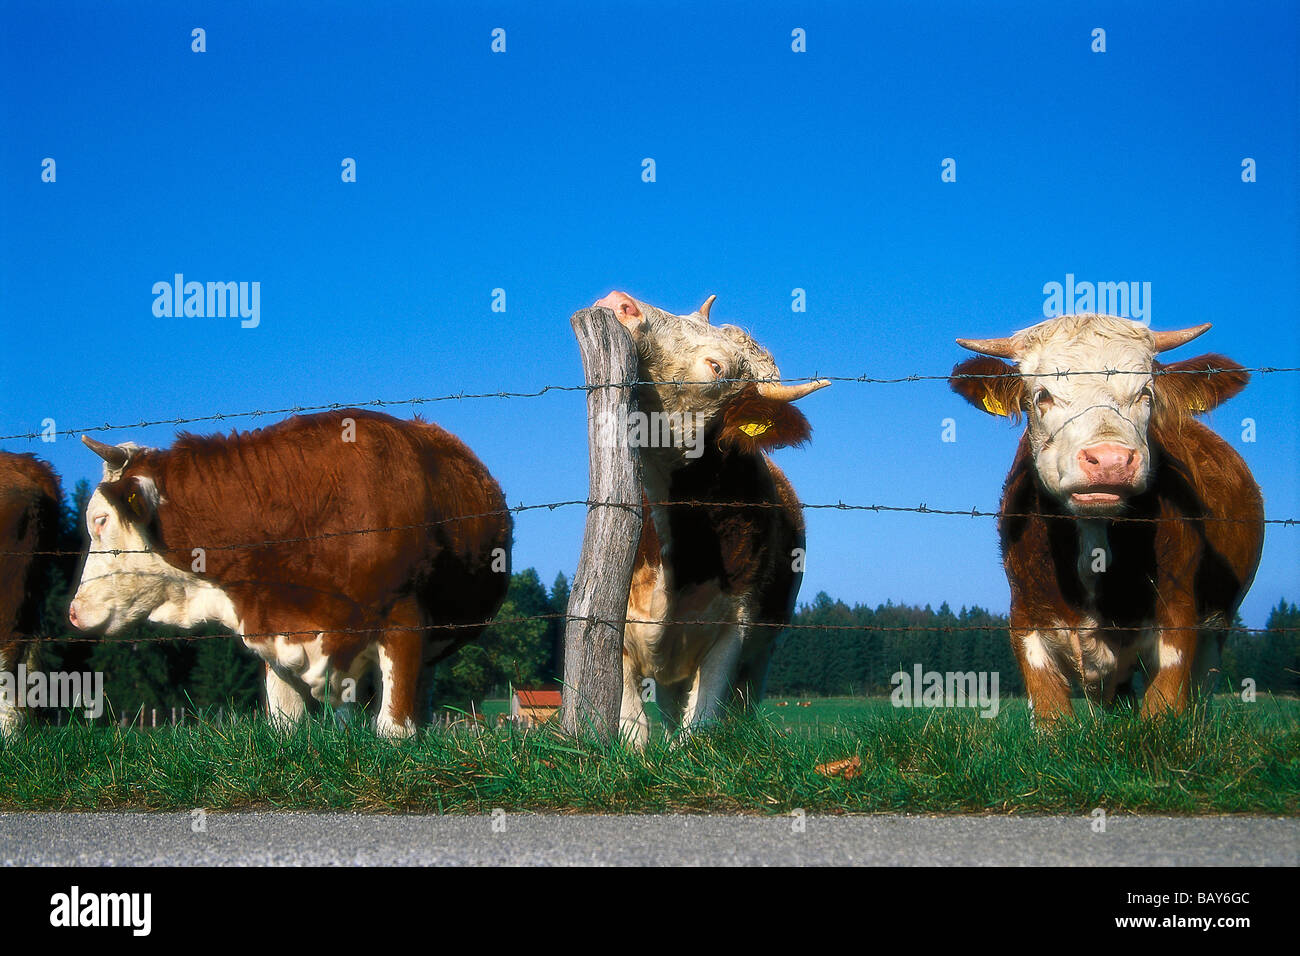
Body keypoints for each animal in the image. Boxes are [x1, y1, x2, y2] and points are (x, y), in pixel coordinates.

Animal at [69, 410, 511, 736]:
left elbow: (394, 729)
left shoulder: (404, 621)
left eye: (100, 520)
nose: (72, 612)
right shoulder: (274, 628)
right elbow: (286, 725)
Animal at [593, 291, 828, 747]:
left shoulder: (735, 630)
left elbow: (700, 725)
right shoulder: (622, 633)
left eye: (717, 368)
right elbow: (634, 729)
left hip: (760, 654)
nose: (621, 302)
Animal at [950, 313, 1264, 723]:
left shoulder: (1178, 622)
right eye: (1042, 396)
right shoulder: (1026, 621)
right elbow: (1052, 719)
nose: (1111, 460)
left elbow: (1161, 714)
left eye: (1146, 394)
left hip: (1217, 624)